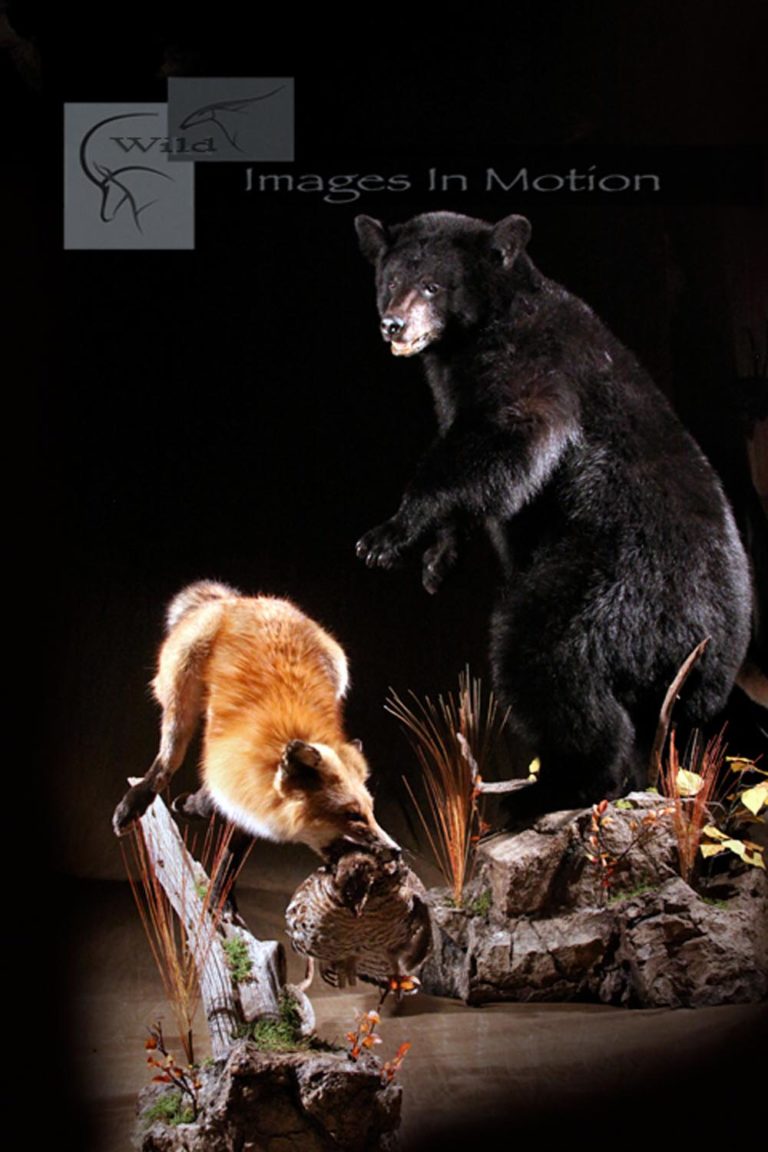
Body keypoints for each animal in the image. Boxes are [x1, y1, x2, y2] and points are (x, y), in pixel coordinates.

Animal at [354, 210, 753, 812]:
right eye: (390, 278)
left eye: (433, 286)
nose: (393, 325)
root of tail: (717, 655)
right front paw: (437, 559)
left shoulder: (533, 361)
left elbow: (509, 437)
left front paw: (389, 533)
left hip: (620, 583)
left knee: (549, 652)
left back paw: (559, 785)